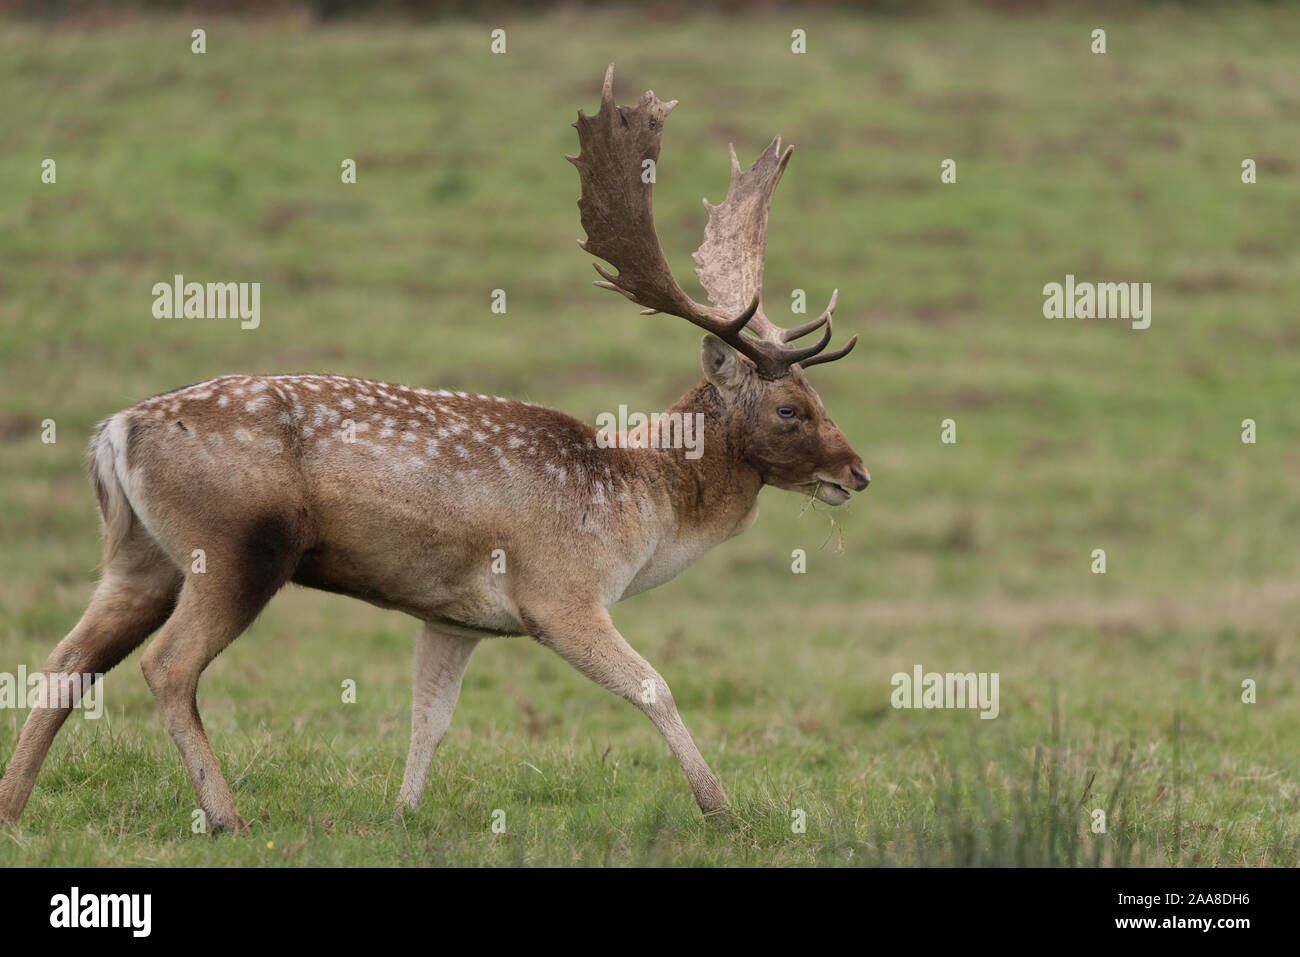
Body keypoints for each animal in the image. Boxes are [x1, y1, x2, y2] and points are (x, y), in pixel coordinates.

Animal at [0, 65, 868, 833]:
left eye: (820, 399)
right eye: (791, 408)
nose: (857, 472)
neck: (638, 504)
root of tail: (115, 431)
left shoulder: (455, 616)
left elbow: (430, 716)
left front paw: (403, 813)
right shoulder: (561, 592)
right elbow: (653, 687)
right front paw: (722, 808)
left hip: (139, 554)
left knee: (65, 661)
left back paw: (14, 808)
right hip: (236, 545)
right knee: (166, 665)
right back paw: (226, 816)